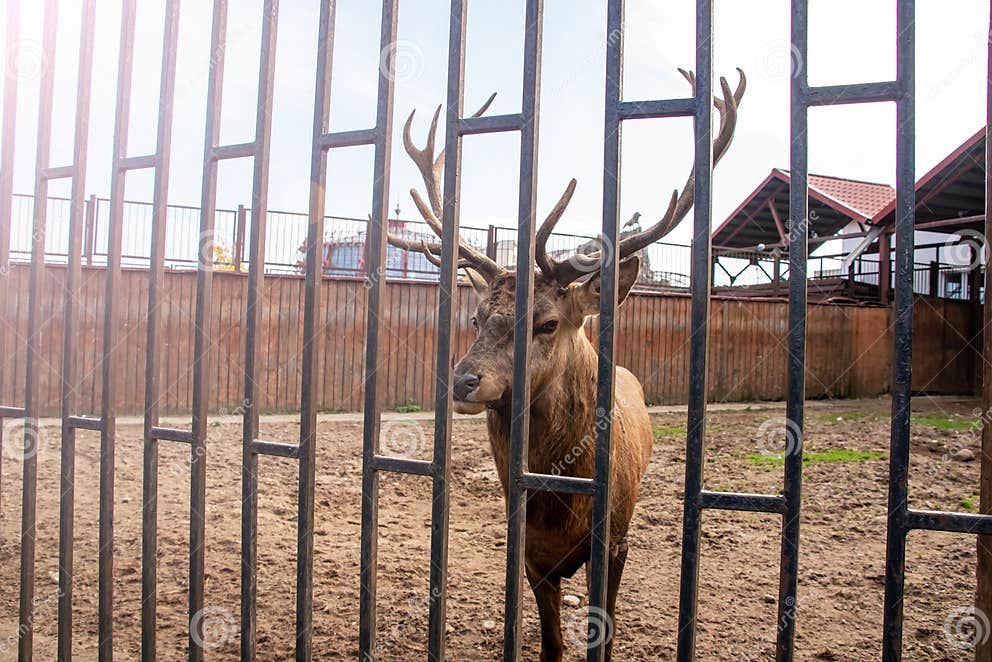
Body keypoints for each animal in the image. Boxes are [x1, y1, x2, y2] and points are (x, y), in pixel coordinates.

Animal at [387, 68, 745, 662]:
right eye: (475, 315)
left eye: (548, 322)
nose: (464, 379)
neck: (563, 501)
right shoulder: (530, 553)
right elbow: (552, 643)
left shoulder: (616, 539)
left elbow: (606, 630)